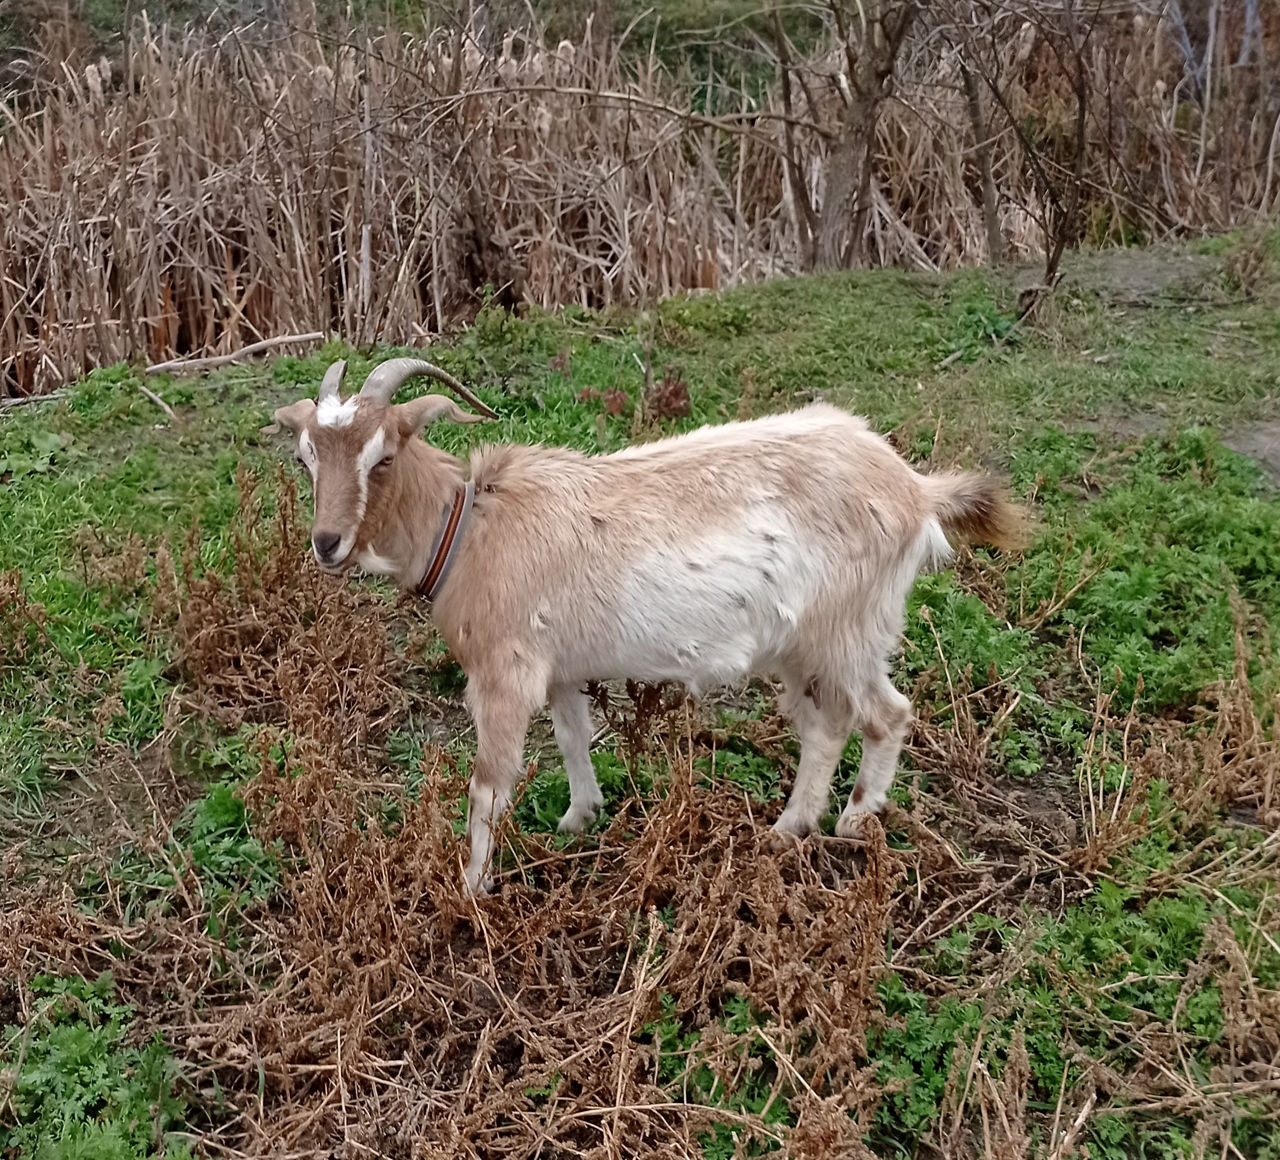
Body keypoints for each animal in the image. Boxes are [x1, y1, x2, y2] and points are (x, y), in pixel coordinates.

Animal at [269, 358, 1027, 895]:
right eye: (307, 458)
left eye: (383, 456)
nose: (328, 544)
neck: (469, 529)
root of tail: (914, 488)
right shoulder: (559, 666)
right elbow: (572, 737)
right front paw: (580, 817)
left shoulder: (504, 672)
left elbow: (489, 782)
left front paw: (471, 888)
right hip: (802, 644)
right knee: (828, 725)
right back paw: (790, 829)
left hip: (845, 630)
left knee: (886, 713)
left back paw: (851, 819)